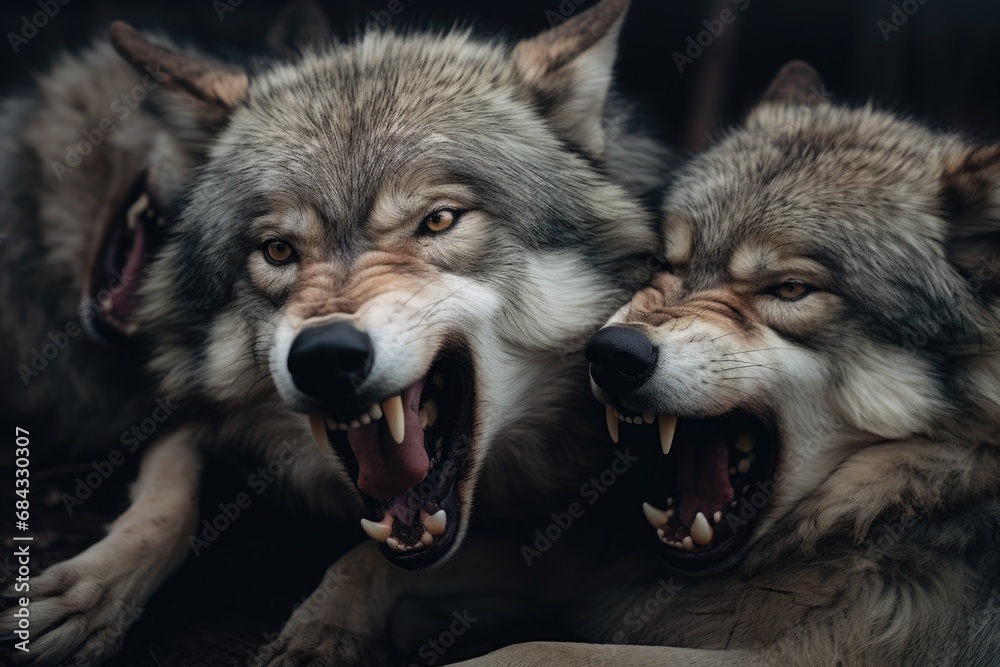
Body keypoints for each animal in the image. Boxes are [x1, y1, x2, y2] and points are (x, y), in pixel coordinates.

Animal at [101, 0, 670, 663]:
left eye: (439, 219)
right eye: (277, 250)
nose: (325, 356)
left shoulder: (567, 546)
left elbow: (367, 562)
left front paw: (325, 627)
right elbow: (165, 493)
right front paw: (83, 592)